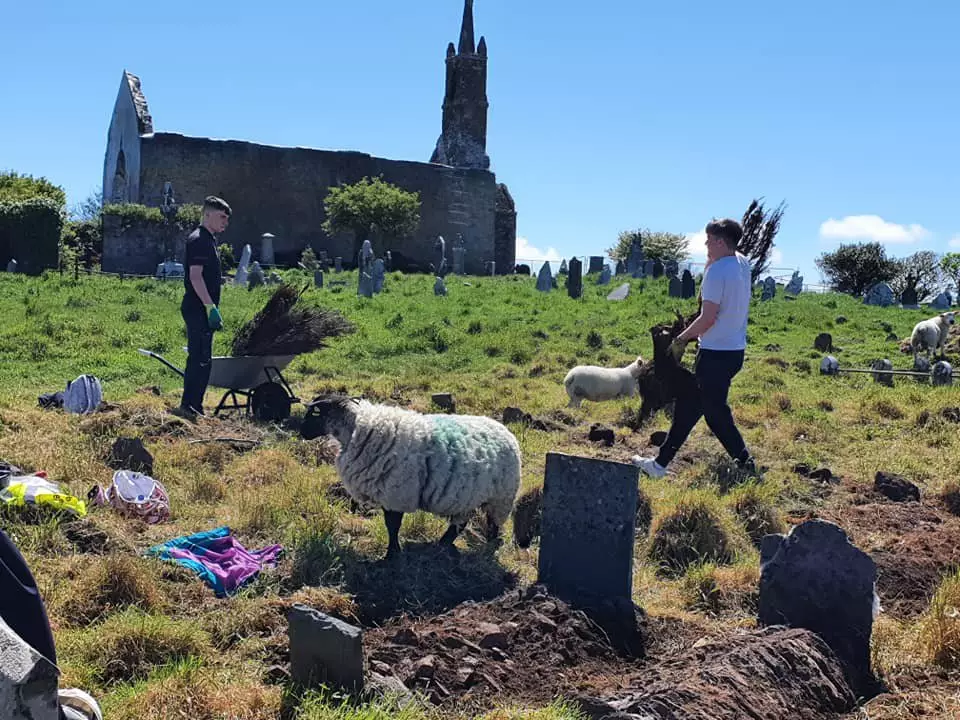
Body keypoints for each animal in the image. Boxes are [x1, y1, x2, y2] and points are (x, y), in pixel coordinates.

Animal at [302, 396, 520, 560]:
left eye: (314, 414)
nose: (301, 432)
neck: (358, 430)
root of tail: (507, 433)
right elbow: (392, 526)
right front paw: (393, 553)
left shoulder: (396, 494)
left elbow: (392, 526)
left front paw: (391, 555)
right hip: (467, 497)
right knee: (461, 523)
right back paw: (443, 544)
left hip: (501, 497)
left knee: (492, 524)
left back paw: (486, 547)